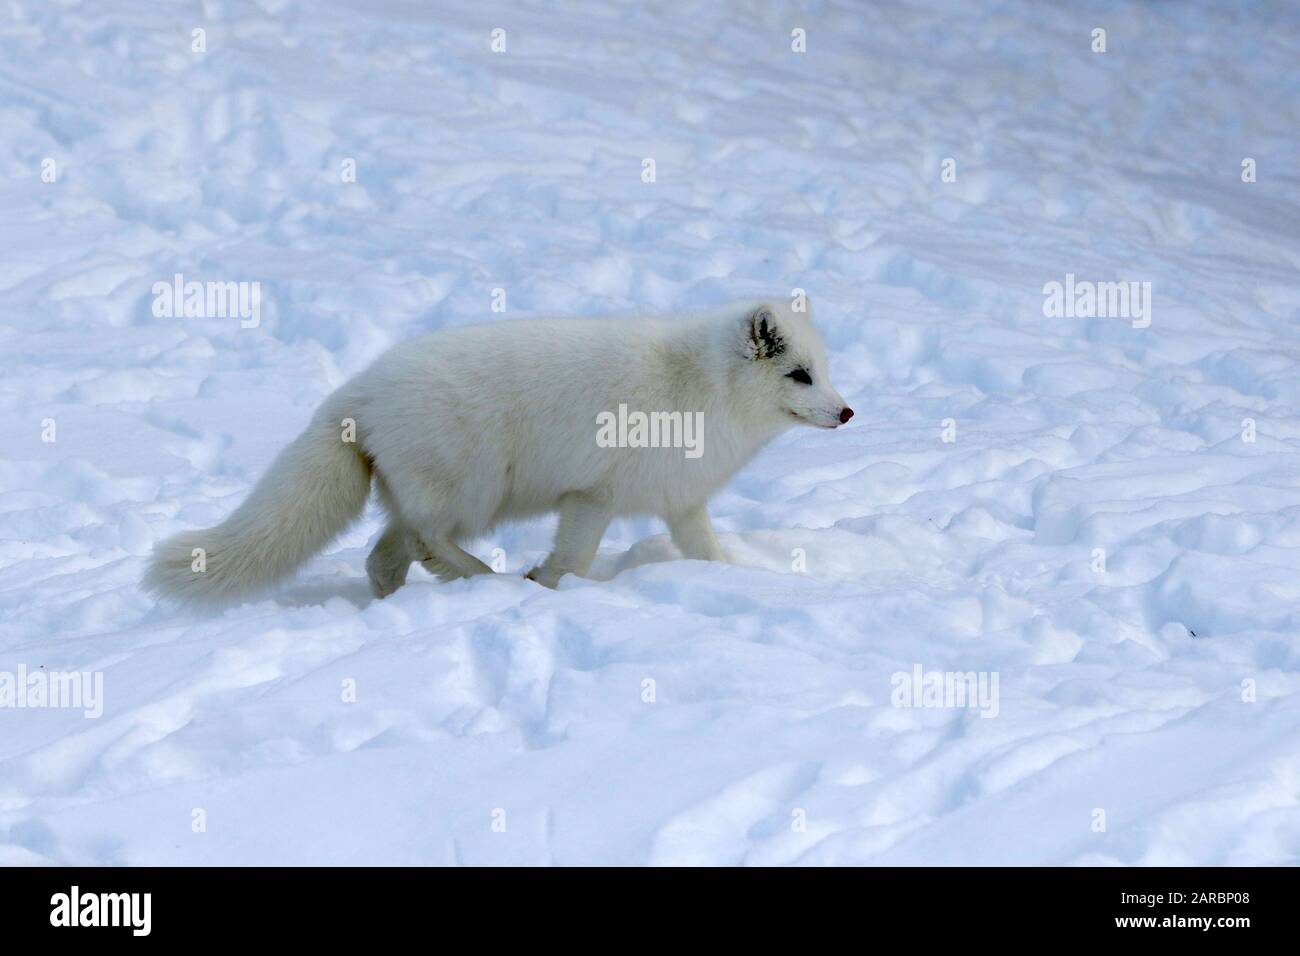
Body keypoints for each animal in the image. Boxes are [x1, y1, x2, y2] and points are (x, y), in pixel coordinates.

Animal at [143, 298, 853, 605]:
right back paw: (485, 578)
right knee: (426, 540)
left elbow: (707, 553)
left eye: (823, 371)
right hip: (472, 489)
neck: (701, 390)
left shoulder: (679, 502)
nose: (847, 412)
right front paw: (547, 585)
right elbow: (574, 556)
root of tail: (358, 391)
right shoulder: (592, 496)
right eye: (799, 376)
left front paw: (736, 580)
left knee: (385, 554)